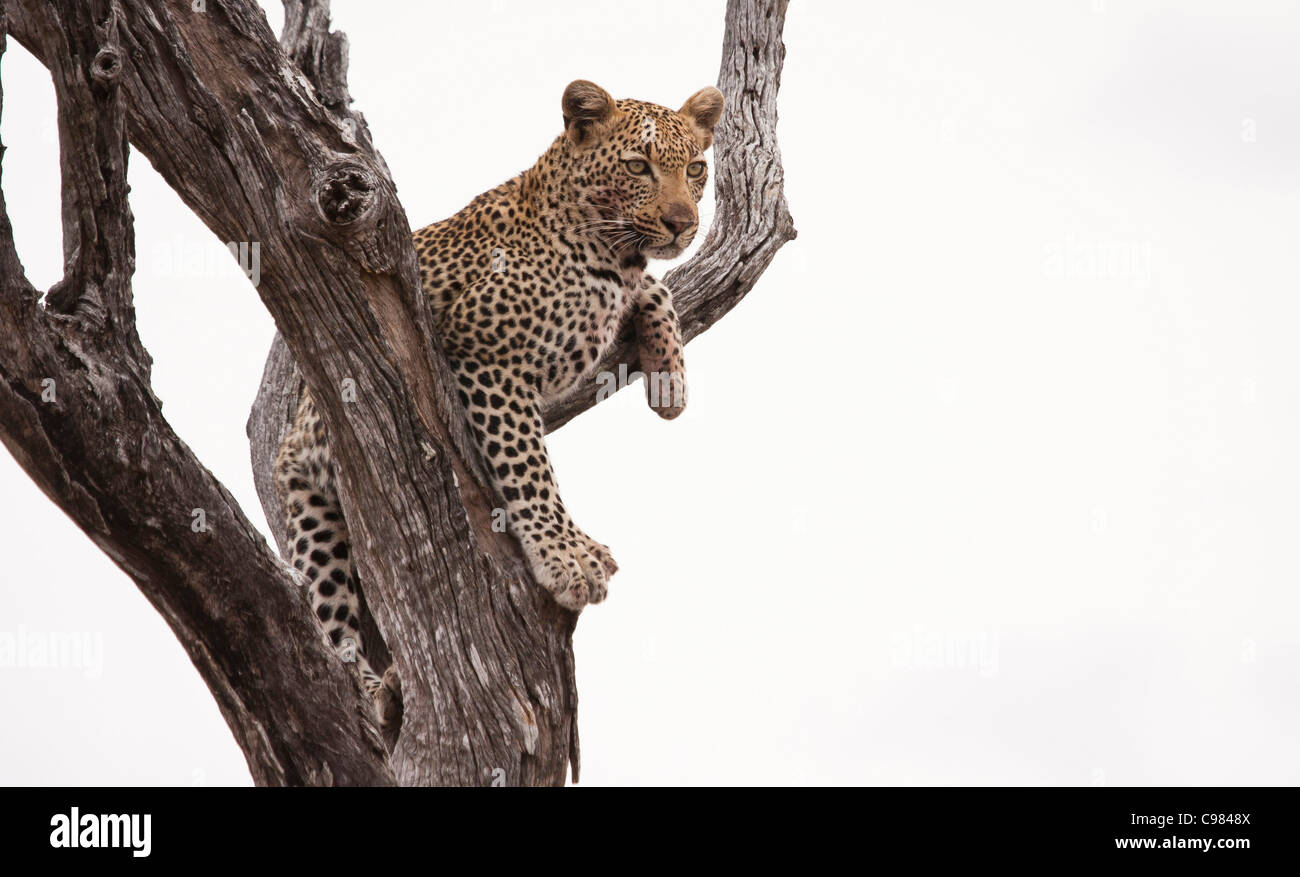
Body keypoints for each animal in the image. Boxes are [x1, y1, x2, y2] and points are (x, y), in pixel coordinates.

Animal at [273, 80, 724, 710]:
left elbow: (657, 290)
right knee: (327, 615)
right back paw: (371, 690)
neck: (612, 258)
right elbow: (530, 470)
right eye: (639, 166)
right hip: (314, 495)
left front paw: (669, 379)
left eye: (696, 169)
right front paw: (567, 557)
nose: (682, 222)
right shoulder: (489, 357)